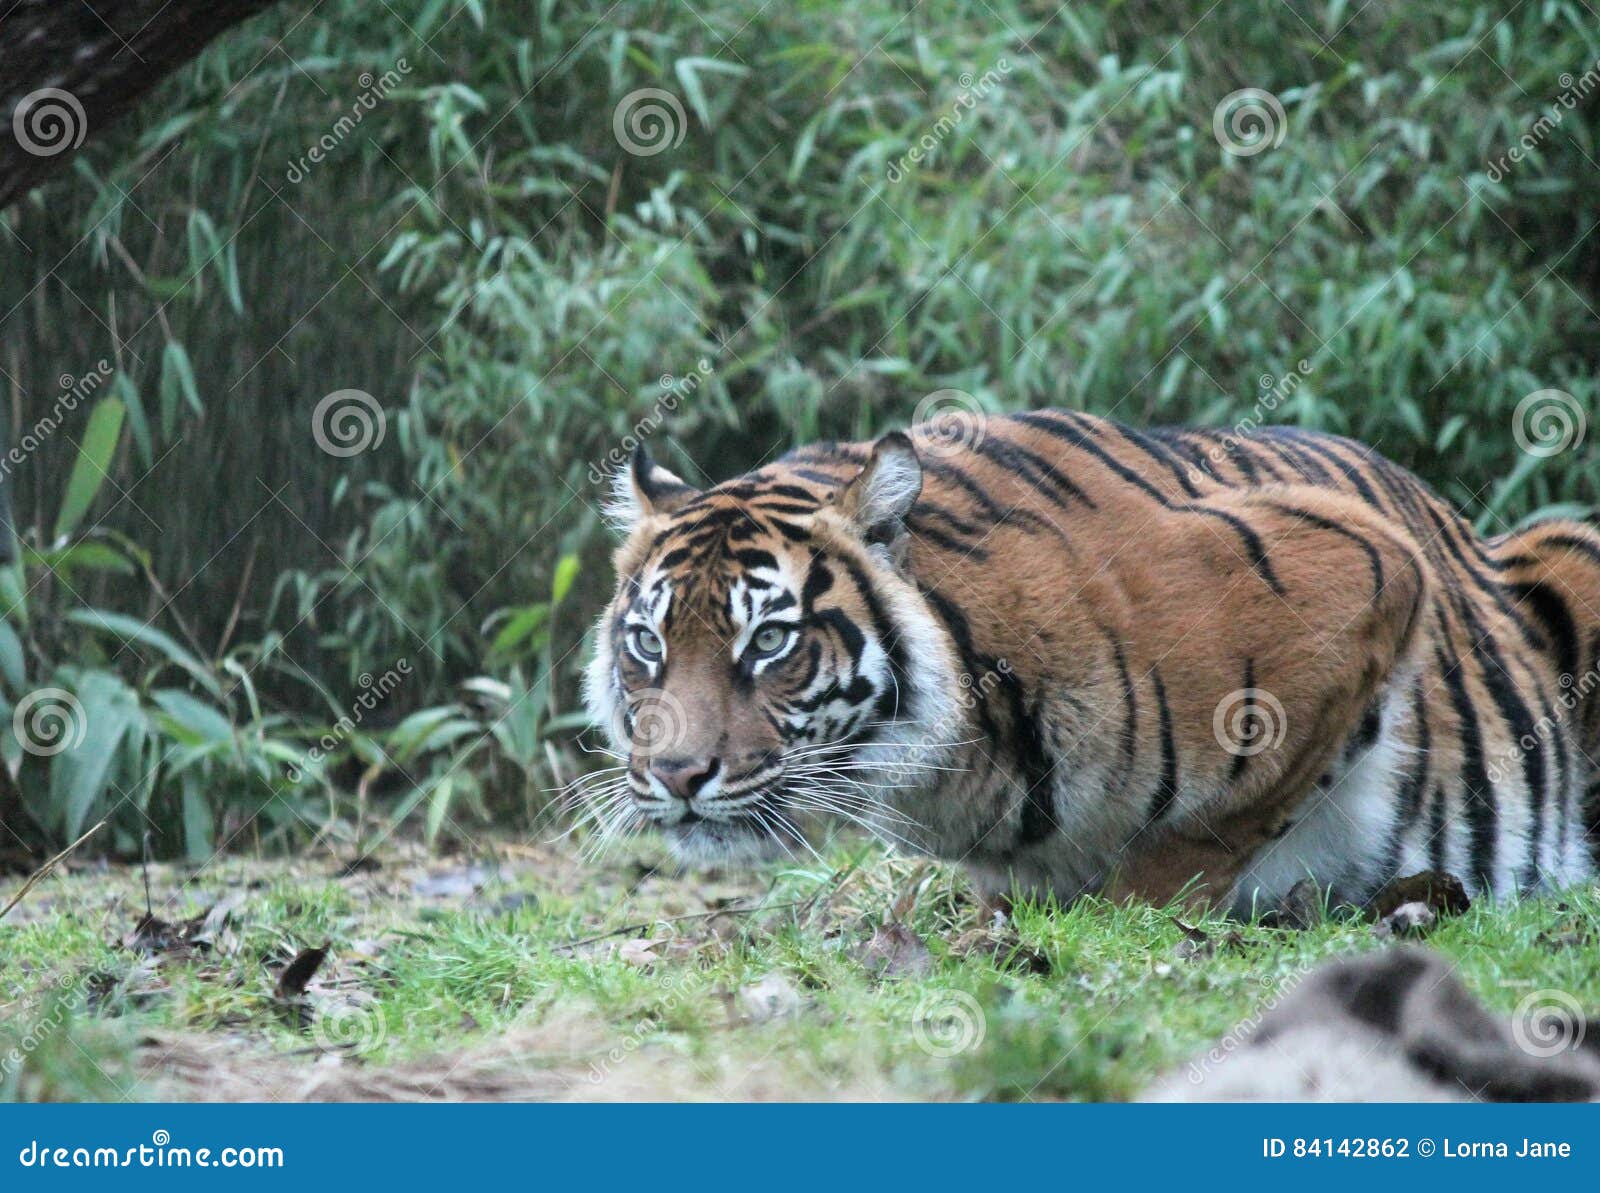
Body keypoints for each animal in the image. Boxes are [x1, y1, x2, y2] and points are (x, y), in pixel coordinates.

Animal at [583, 408, 1600, 915]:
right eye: (648, 643)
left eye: (770, 641)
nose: (677, 775)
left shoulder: (1362, 572)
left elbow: (1210, 831)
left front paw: (1130, 905)